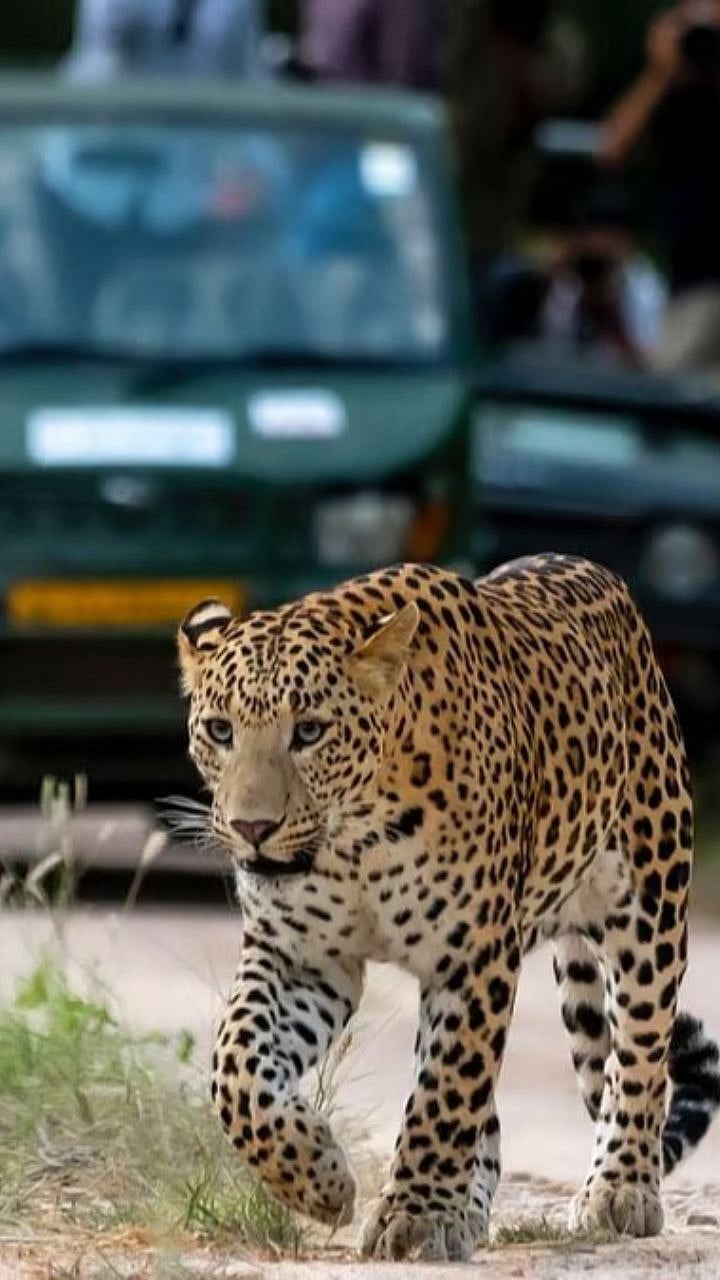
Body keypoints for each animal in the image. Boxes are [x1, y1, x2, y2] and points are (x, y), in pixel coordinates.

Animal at [176, 554, 720, 1263]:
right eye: (220, 731)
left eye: (310, 732)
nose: (252, 828)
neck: (356, 839)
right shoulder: (301, 957)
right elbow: (236, 1069)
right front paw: (317, 1179)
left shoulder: (473, 957)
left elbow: (445, 1093)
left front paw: (414, 1216)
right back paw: (468, 1211)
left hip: (649, 903)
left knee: (638, 1055)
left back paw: (621, 1188)